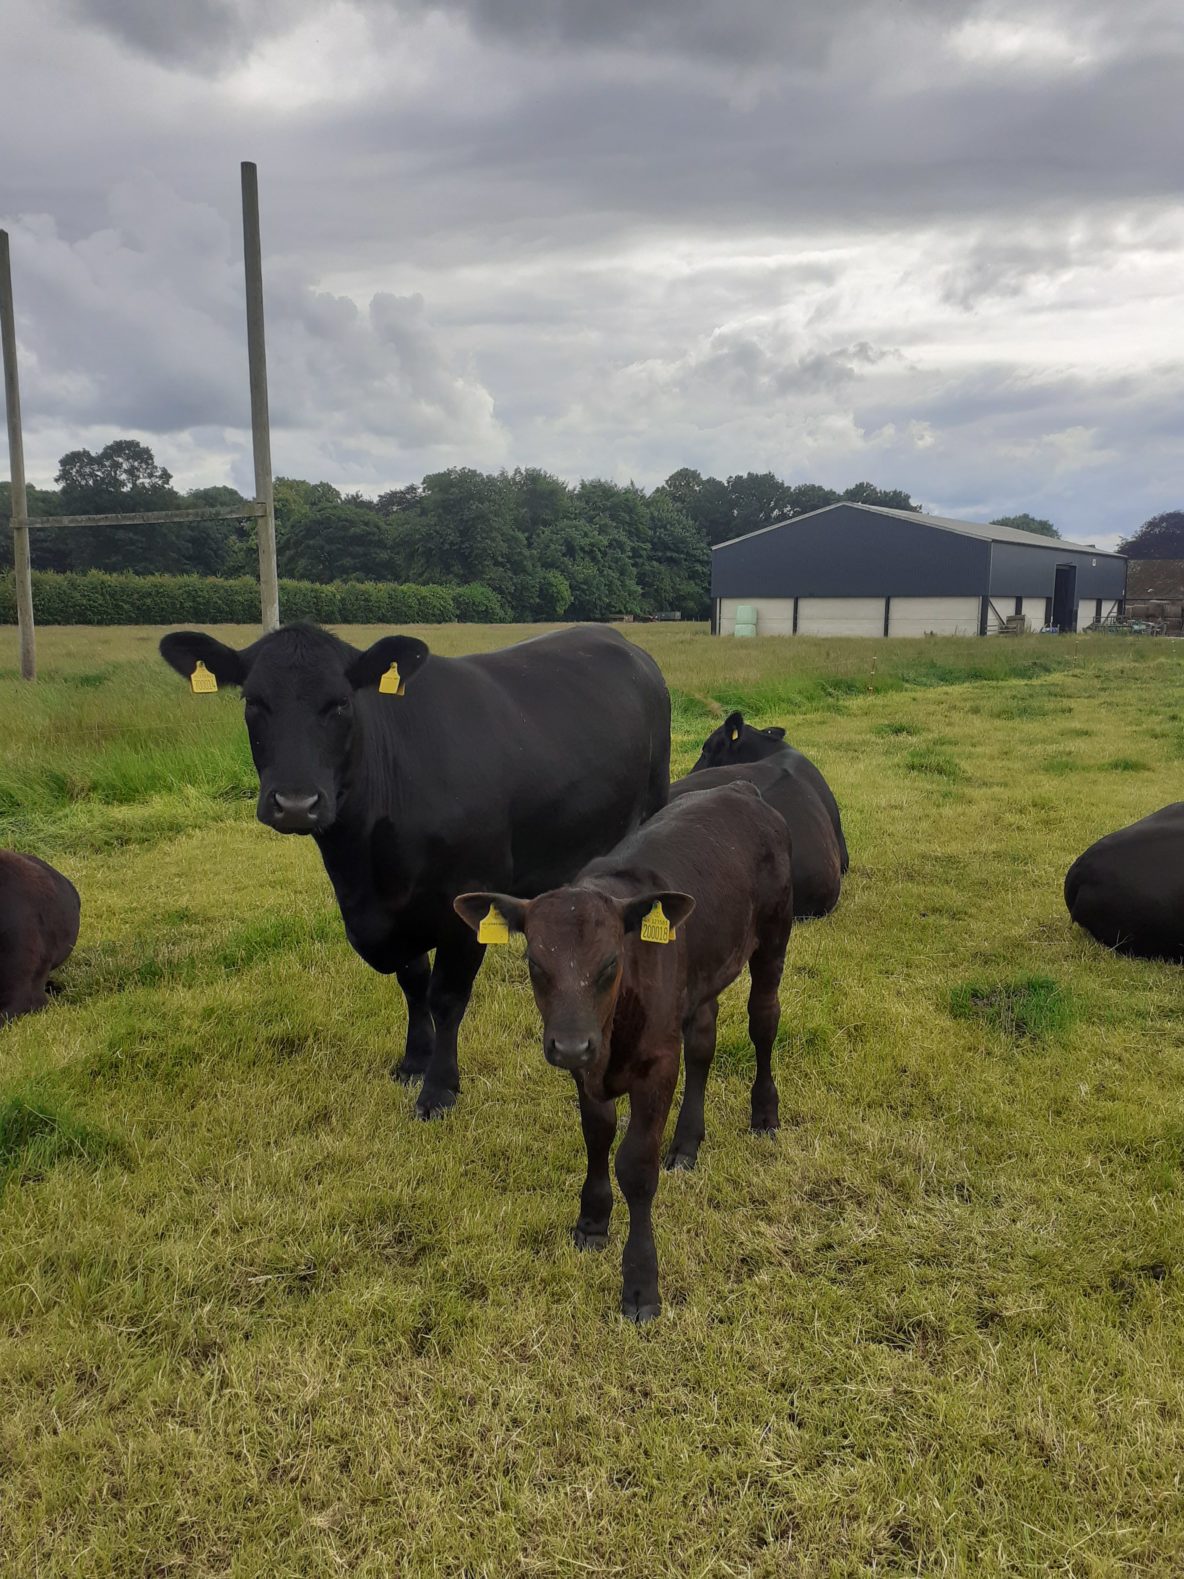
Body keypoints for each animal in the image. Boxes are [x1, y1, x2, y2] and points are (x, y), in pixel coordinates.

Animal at [159, 622, 670, 1118]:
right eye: (253, 701)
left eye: (341, 702)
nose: (296, 802)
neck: (367, 871)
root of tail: (617, 638)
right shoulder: (393, 916)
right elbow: (413, 984)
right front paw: (413, 1061)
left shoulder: (468, 900)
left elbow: (445, 997)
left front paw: (439, 1088)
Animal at [454, 780, 793, 1322]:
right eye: (535, 963)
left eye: (611, 962)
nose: (571, 1044)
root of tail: (739, 787)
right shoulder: (588, 1063)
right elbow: (597, 1135)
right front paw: (592, 1221)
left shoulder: (657, 1063)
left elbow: (634, 1164)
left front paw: (639, 1283)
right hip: (701, 978)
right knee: (703, 1042)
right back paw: (686, 1143)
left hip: (775, 937)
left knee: (763, 1019)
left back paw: (764, 1113)